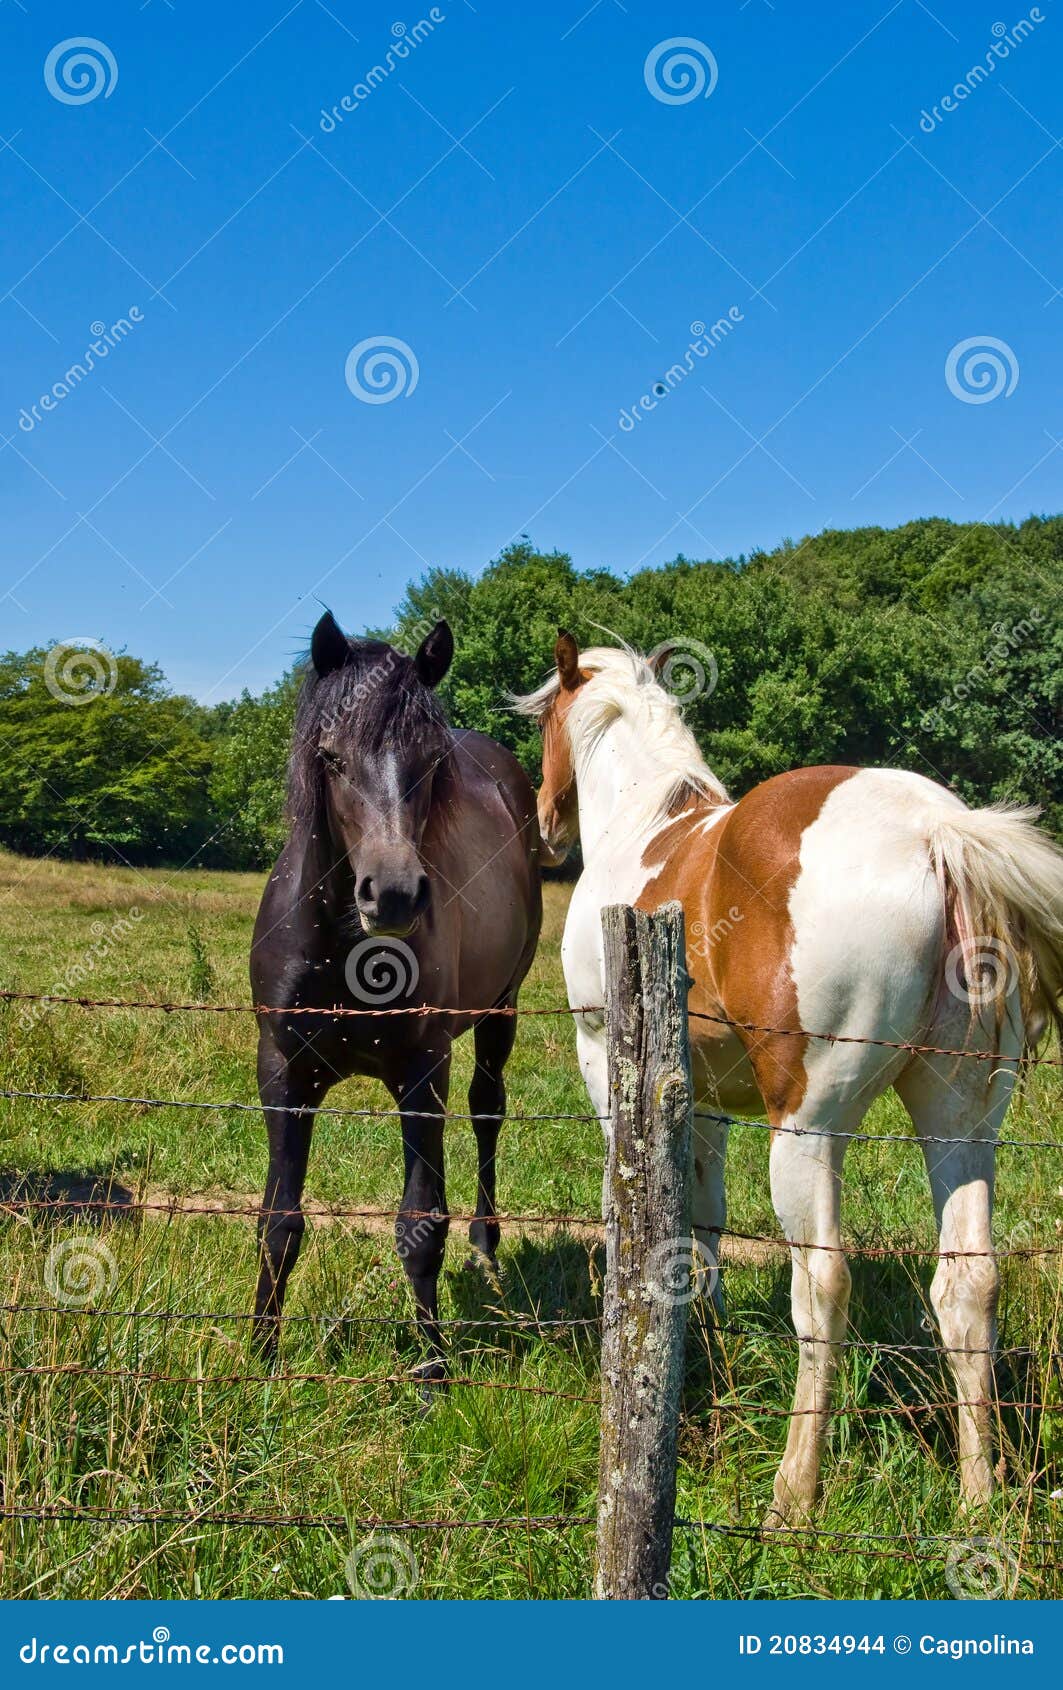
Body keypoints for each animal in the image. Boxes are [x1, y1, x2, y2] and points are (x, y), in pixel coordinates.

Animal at [250, 611, 542, 1380]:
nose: (394, 894)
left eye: (430, 763)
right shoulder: (282, 1073)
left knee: (488, 1111)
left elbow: (420, 1227)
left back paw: (487, 1247)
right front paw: (259, 1356)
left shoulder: (422, 1074)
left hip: (501, 1013)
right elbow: (278, 1220)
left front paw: (433, 1374)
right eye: (330, 757)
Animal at [516, 632, 1063, 1525]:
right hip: (959, 1124)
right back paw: (976, 1499)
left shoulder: (606, 1069)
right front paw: (706, 1369)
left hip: (806, 1135)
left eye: (543, 723)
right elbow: (698, 1235)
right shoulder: (702, 1104)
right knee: (968, 1285)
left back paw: (793, 1494)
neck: (643, 824)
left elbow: (630, 1212)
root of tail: (934, 830)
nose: (545, 824)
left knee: (824, 1285)